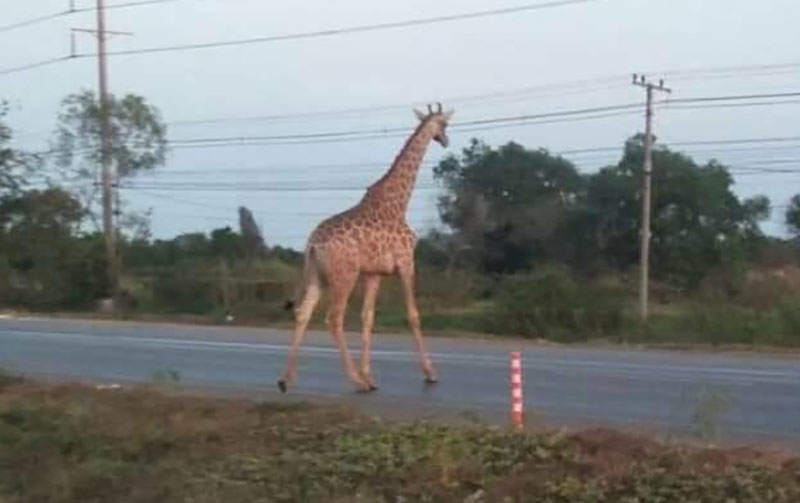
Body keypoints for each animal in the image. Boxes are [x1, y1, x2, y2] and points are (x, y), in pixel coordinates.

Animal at [278, 103, 454, 393]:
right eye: (444, 124)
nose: (445, 140)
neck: (398, 203)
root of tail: (312, 244)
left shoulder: (375, 273)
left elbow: (367, 318)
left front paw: (370, 375)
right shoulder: (406, 262)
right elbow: (413, 315)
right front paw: (430, 373)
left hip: (317, 276)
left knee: (303, 312)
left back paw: (286, 379)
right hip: (344, 276)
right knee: (334, 318)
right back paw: (355, 380)